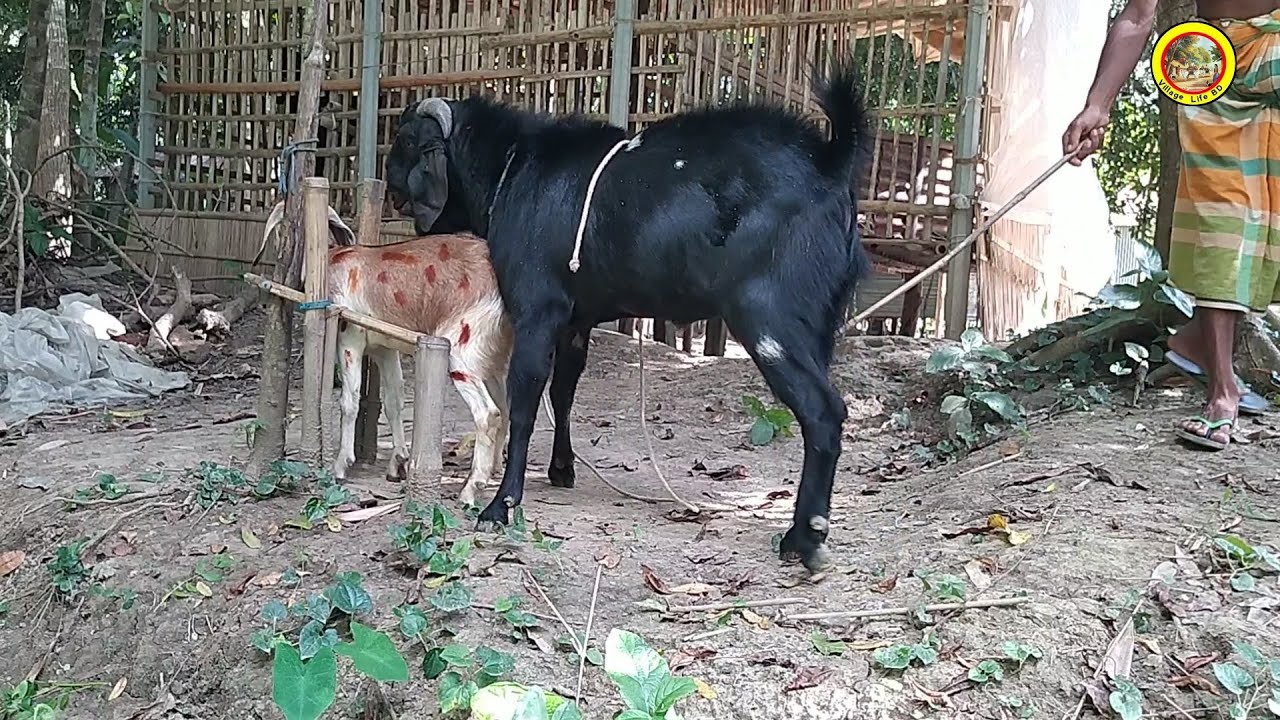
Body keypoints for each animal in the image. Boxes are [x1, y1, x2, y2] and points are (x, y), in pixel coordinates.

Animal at [261, 201, 513, 507]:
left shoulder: (350, 338)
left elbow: (349, 401)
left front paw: (341, 465)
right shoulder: (385, 348)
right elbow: (394, 401)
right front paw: (397, 463)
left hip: (462, 350)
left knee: (488, 414)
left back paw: (471, 489)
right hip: (494, 357)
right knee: (506, 408)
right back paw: (493, 473)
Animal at [383, 59, 872, 572]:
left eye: (406, 140)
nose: (387, 176)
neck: (512, 167)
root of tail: (831, 161)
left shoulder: (538, 308)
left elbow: (526, 398)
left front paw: (502, 505)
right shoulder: (576, 319)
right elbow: (563, 390)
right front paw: (562, 468)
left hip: (768, 318)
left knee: (823, 411)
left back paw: (805, 537)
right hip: (820, 324)